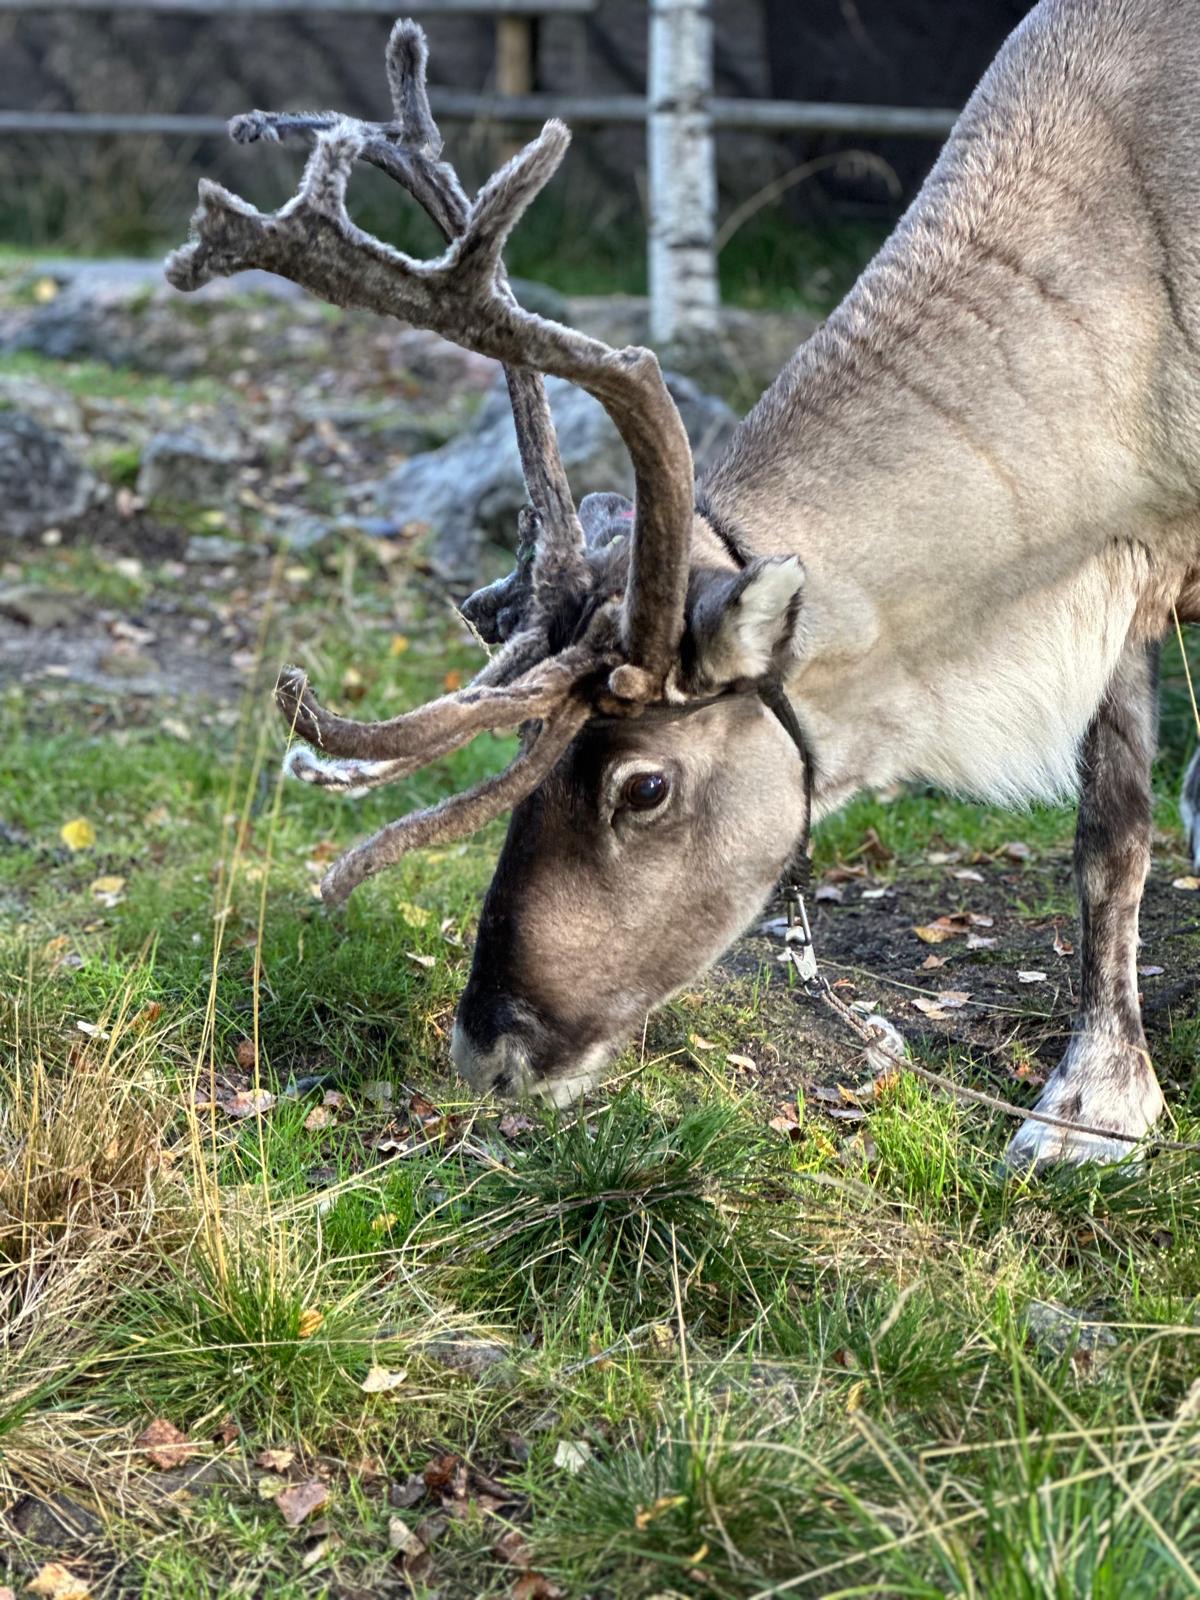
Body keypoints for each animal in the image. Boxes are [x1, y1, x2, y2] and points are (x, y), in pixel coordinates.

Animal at [167, 0, 1200, 1172]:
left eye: (644, 787)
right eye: (532, 753)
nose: (485, 1050)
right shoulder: (1120, 576)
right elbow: (1109, 832)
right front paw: (1101, 1100)